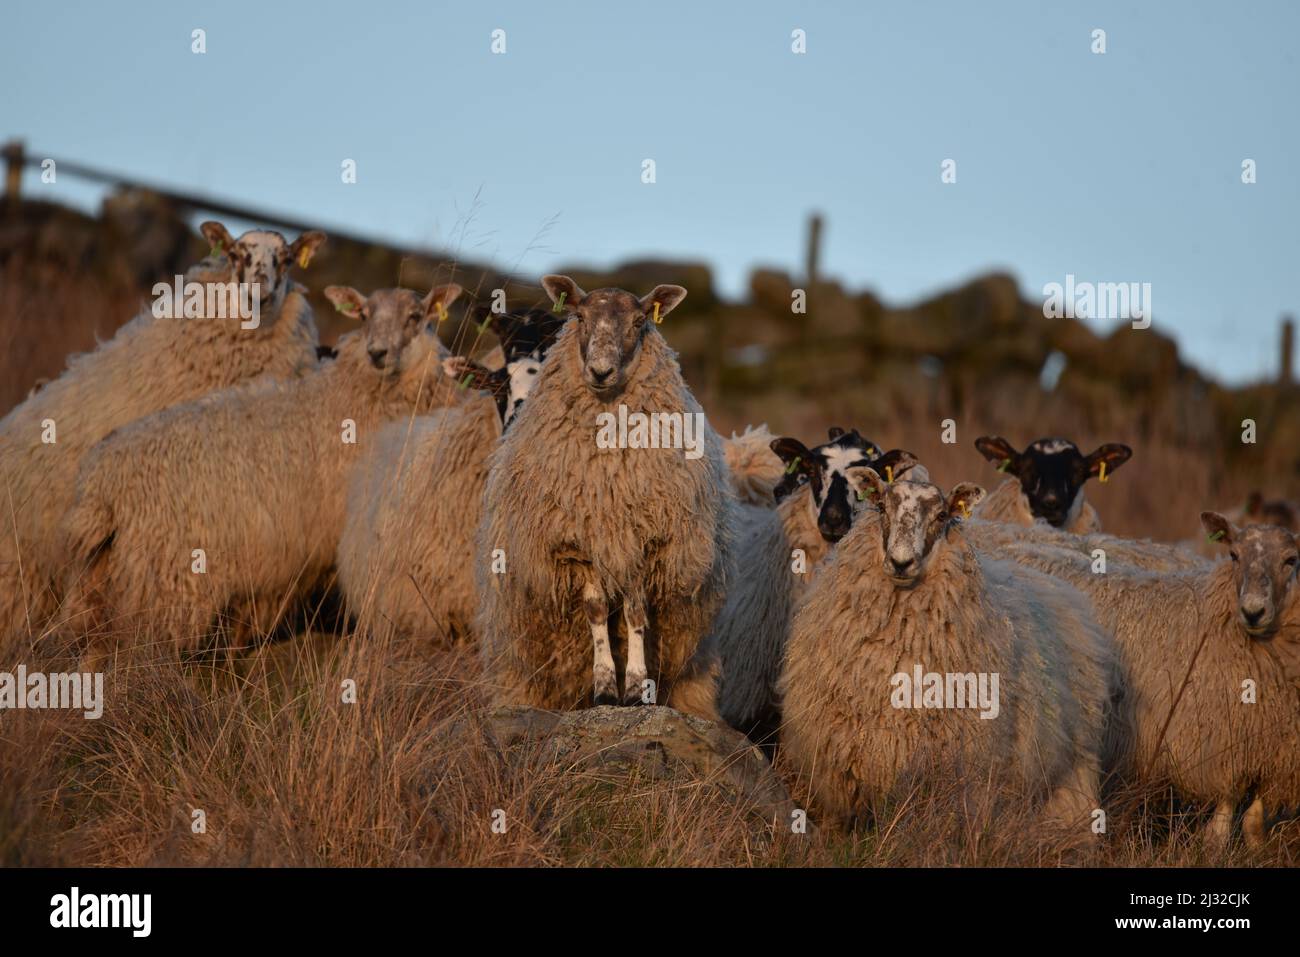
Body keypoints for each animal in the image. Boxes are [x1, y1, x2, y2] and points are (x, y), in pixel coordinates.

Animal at [60, 282, 464, 655]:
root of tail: (100, 485)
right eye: (364, 316)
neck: (350, 398)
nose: (377, 352)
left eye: (415, 316)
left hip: (99, 577)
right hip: (166, 583)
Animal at [475, 275, 731, 719]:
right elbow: (597, 613)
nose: (600, 371)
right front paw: (606, 688)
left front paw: (637, 688)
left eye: (640, 321)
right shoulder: (581, 542)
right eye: (579, 317)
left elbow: (635, 614)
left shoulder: (643, 540)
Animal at [997, 514, 1300, 847]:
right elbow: (1223, 817)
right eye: (1233, 555)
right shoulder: (1219, 741)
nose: (1253, 611)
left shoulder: (1273, 750)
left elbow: (1255, 822)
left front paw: (1256, 849)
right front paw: (1216, 845)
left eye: (1291, 560)